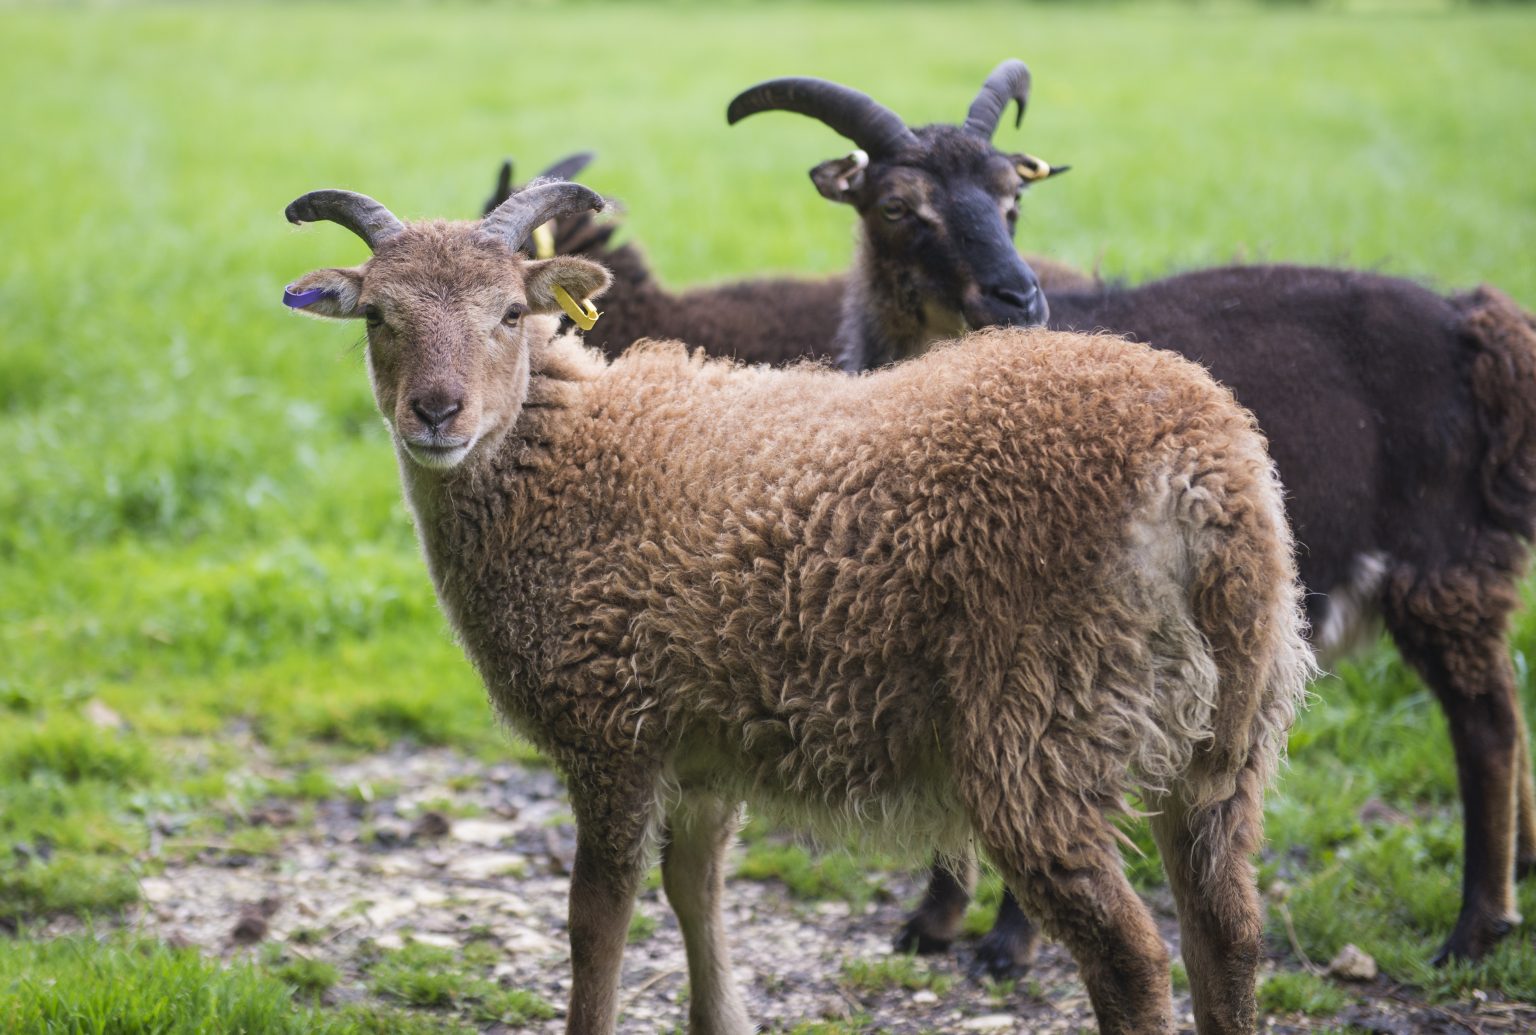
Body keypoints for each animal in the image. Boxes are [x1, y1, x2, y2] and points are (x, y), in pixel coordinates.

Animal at [281, 181, 1313, 1035]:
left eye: (508, 312)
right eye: (377, 316)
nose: (435, 413)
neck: (567, 455)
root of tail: (1202, 471)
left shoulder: (612, 732)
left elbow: (595, 921)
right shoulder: (700, 739)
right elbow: (694, 888)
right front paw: (721, 1019)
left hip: (1042, 726)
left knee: (1130, 957)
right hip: (1224, 732)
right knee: (1228, 932)